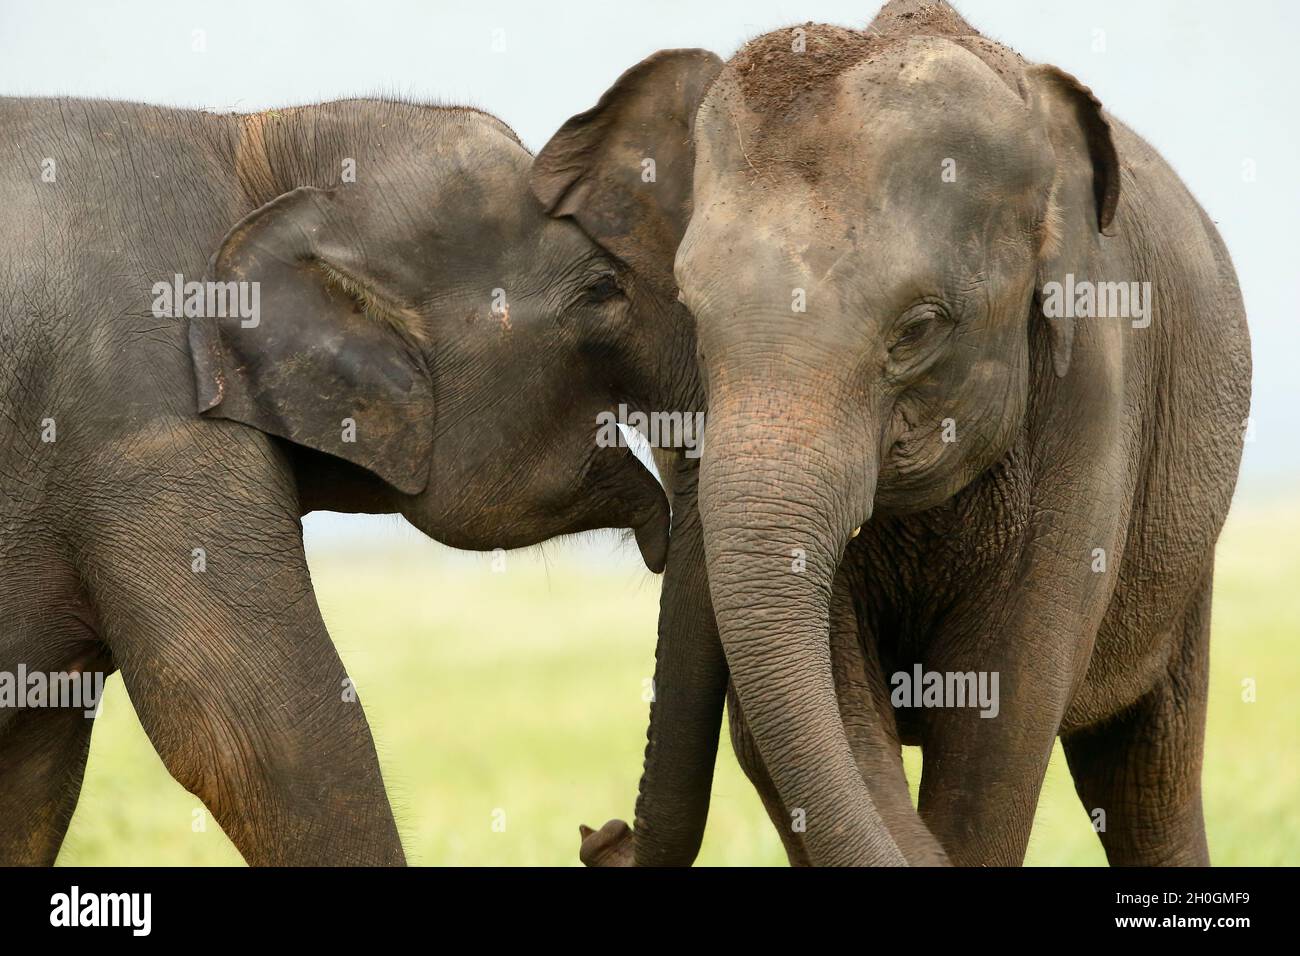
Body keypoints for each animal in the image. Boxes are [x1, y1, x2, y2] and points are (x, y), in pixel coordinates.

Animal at [0, 94, 712, 865]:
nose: (599, 832)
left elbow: (36, 767)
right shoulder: (144, 413)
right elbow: (259, 731)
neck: (259, 145)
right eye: (603, 289)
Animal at [568, 0, 1251, 866]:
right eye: (690, 314)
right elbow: (824, 719)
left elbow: (1001, 725)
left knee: (1147, 775)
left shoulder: (1094, 393)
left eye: (919, 328)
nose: (600, 833)